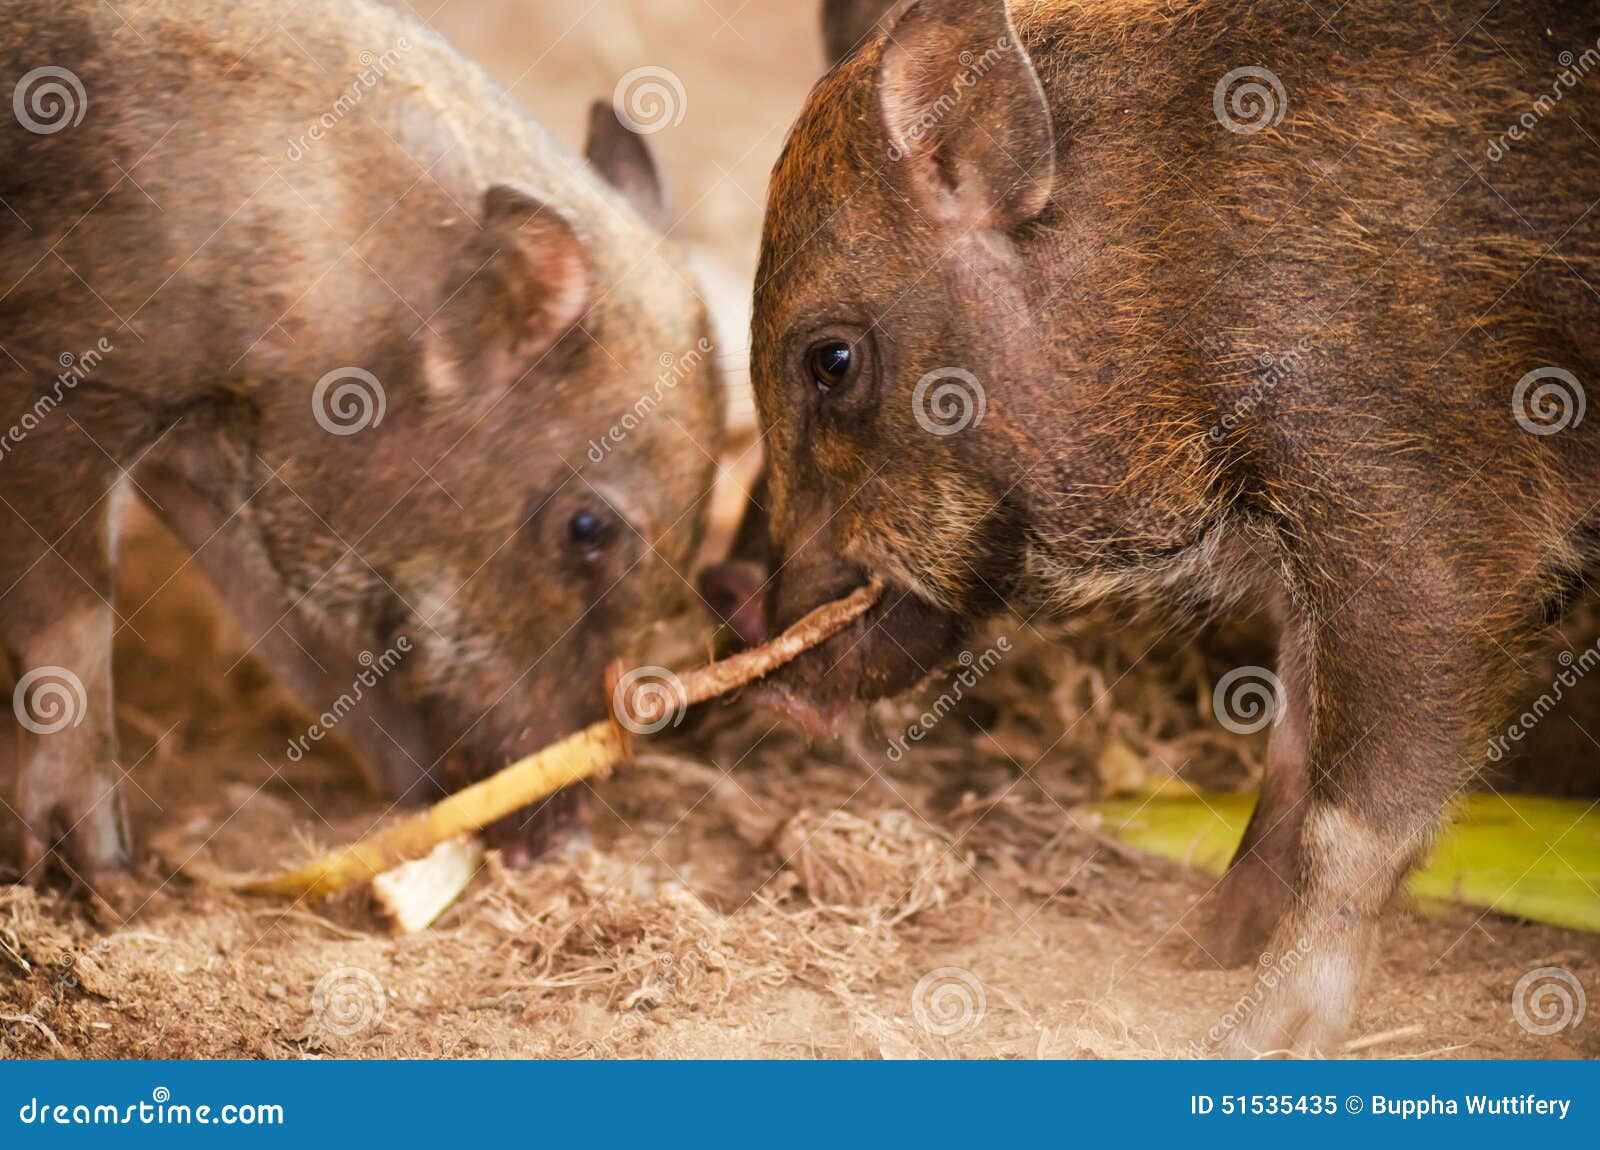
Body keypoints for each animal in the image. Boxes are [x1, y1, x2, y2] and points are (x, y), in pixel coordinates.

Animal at [0, 0, 722, 880]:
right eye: (589, 528)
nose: (564, 839)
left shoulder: (220, 466)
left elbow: (299, 640)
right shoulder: (56, 380)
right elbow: (71, 615)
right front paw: (95, 874)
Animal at [738, 0, 1600, 1053]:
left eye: (830, 360)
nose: (772, 679)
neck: (1158, 279)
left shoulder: (1425, 526)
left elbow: (1357, 809)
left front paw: (1257, 1034)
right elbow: (1289, 754)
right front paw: (1191, 954)